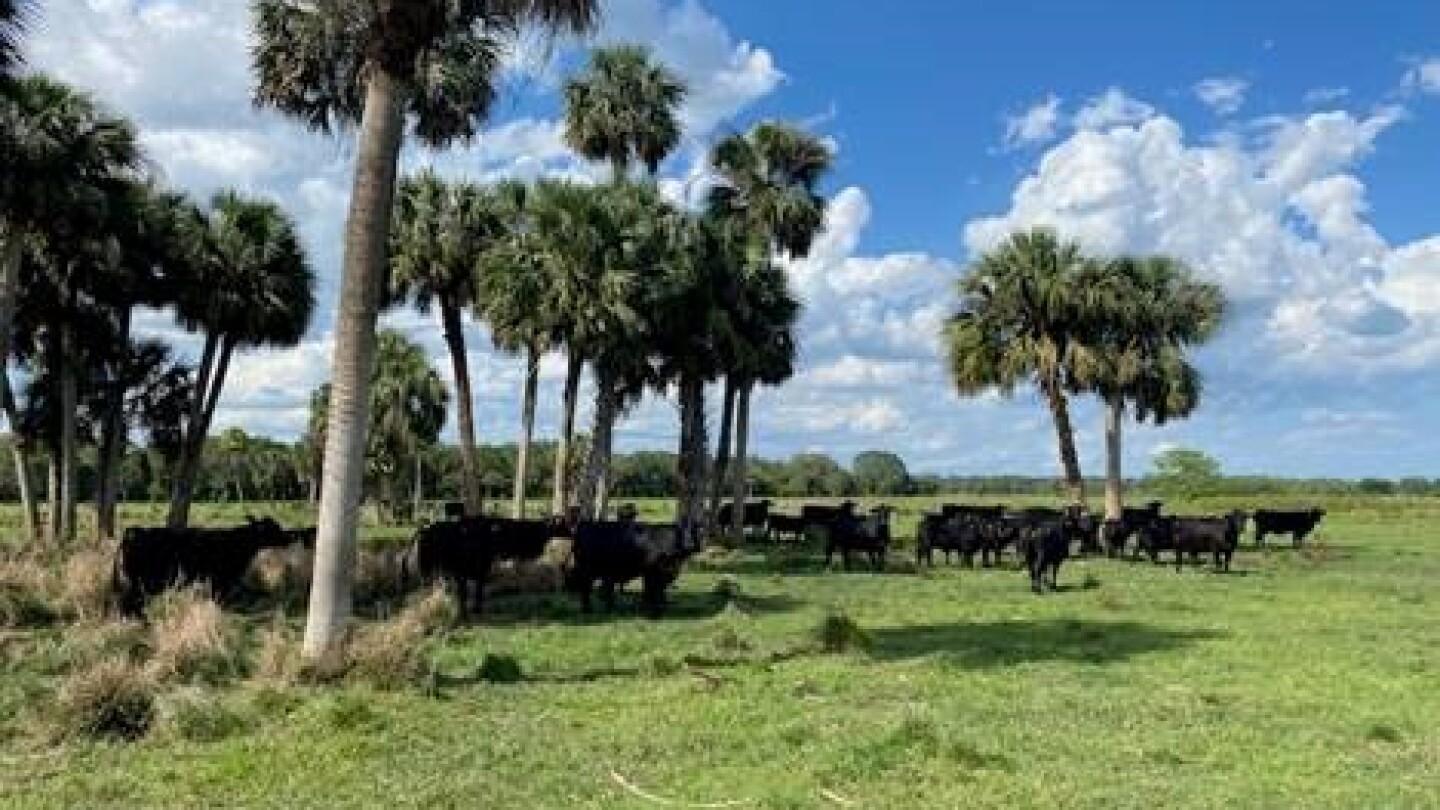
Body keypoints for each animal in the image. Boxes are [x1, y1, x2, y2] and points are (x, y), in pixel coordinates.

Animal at [114, 517, 308, 615]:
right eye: (273, 529)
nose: (290, 537)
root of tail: (134, 532)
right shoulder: (222, 579)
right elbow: (221, 599)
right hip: (145, 582)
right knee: (129, 602)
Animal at [409, 516, 557, 614]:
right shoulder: (465, 572)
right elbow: (466, 592)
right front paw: (466, 611)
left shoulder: (474, 570)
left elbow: (472, 590)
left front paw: (471, 610)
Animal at [565, 520, 695, 617]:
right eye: (681, 534)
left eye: (693, 533)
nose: (690, 545)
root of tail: (584, 525)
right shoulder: (652, 571)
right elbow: (652, 590)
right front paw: (654, 612)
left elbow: (656, 591)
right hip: (587, 571)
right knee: (586, 589)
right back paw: (588, 610)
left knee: (602, 590)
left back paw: (608, 608)